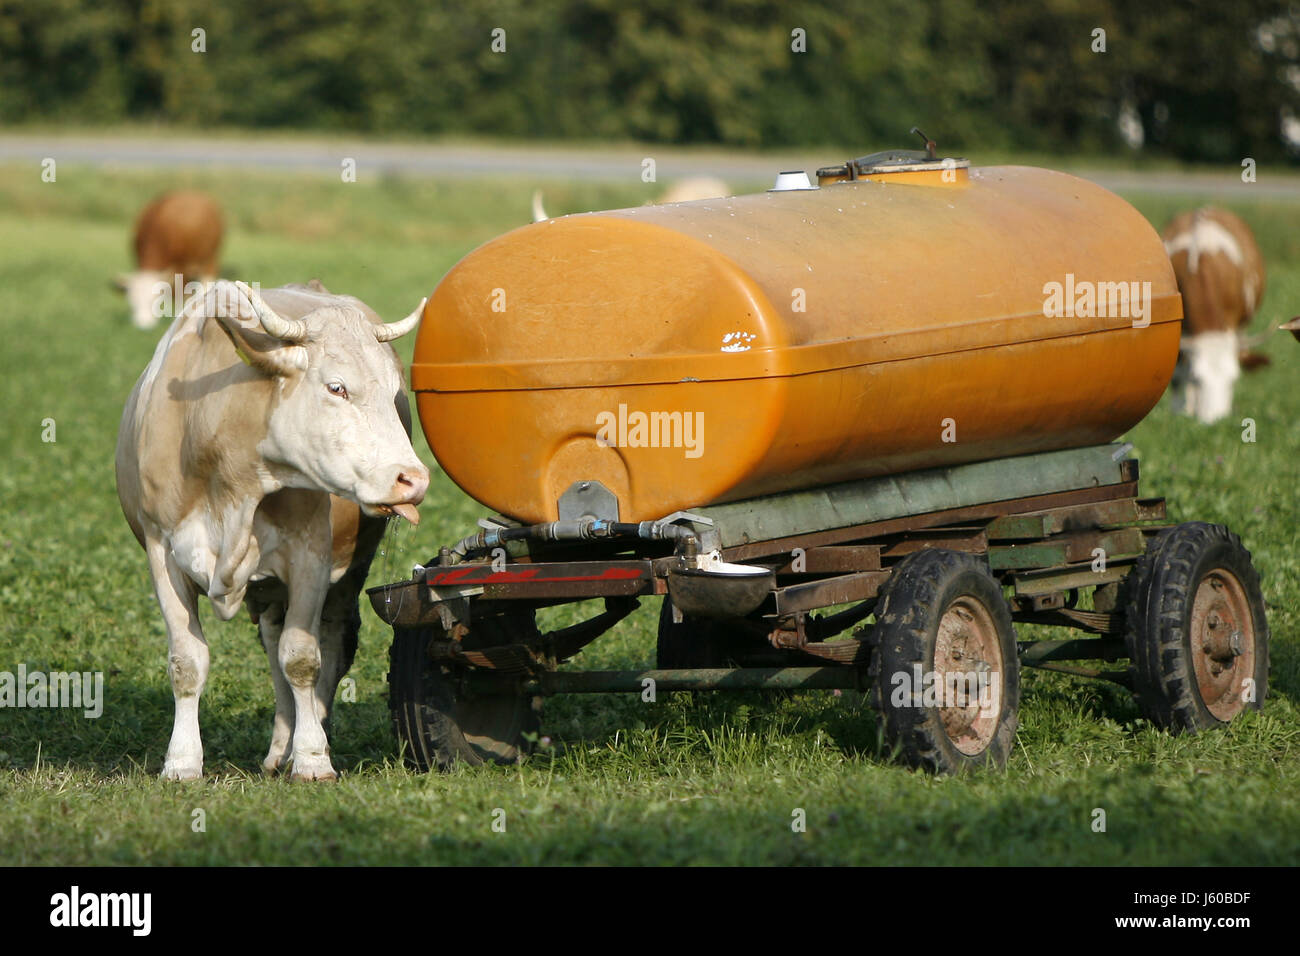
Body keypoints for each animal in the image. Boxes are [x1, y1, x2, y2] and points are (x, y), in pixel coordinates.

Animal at [115, 279, 430, 781]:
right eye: (336, 387)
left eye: (395, 391)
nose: (413, 480)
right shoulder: (161, 552)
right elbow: (187, 661)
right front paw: (182, 761)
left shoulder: (311, 557)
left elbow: (301, 659)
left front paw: (314, 757)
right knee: (271, 641)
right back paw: (280, 748)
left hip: (349, 568)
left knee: (331, 642)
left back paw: (308, 733)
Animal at [117, 191, 224, 331]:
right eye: (133, 300)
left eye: (154, 299)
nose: (144, 325)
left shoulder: (181, 266)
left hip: (211, 256)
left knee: (206, 282)